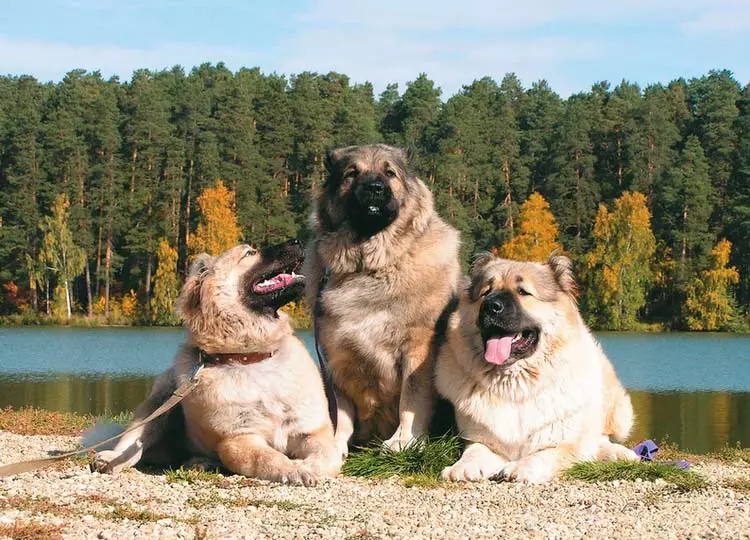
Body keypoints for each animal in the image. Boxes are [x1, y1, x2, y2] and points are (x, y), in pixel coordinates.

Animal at [89, 240, 344, 486]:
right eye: (250, 253)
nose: (298, 241)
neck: (251, 356)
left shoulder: (311, 432)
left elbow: (328, 456)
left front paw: (308, 467)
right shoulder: (237, 439)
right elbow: (267, 458)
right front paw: (294, 470)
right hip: (158, 405)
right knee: (133, 445)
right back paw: (111, 458)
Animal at [302, 144, 462, 456]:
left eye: (390, 173)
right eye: (352, 173)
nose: (374, 188)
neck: (369, 267)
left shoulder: (417, 348)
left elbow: (410, 402)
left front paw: (403, 441)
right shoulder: (335, 358)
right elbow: (342, 412)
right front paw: (337, 445)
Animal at [438, 254, 636, 486]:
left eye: (522, 291)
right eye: (485, 292)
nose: (490, 305)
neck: (515, 388)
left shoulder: (563, 444)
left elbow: (543, 454)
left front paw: (519, 467)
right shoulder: (481, 440)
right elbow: (474, 452)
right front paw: (461, 467)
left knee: (602, 437)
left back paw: (617, 453)